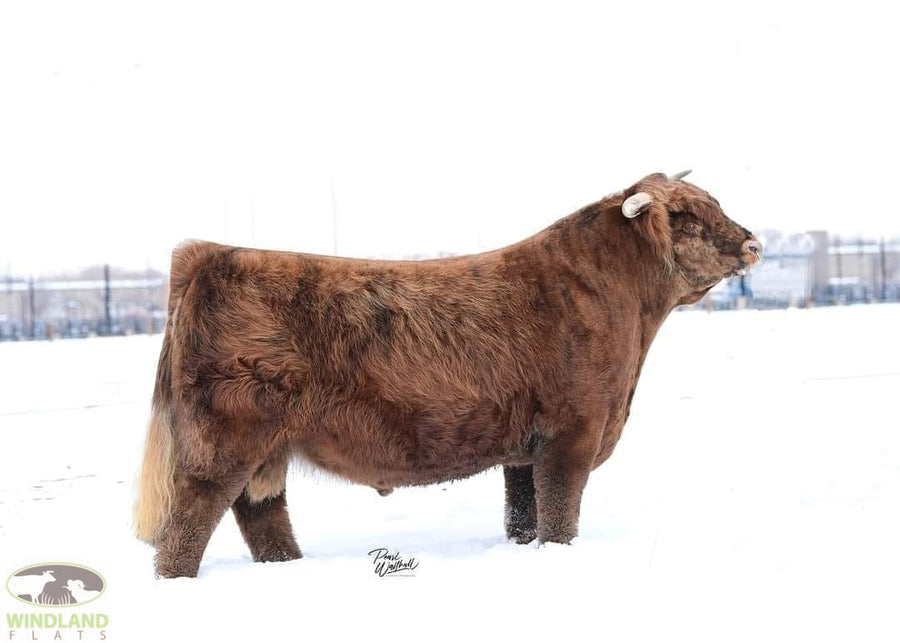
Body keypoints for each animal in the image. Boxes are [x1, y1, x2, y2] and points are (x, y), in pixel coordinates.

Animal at [133, 171, 762, 578]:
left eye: (715, 204)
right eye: (686, 218)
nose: (754, 242)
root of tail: (210, 254)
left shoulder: (524, 448)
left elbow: (524, 514)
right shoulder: (572, 433)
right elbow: (560, 513)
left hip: (266, 448)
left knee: (261, 513)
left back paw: (287, 569)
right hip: (223, 442)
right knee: (189, 521)